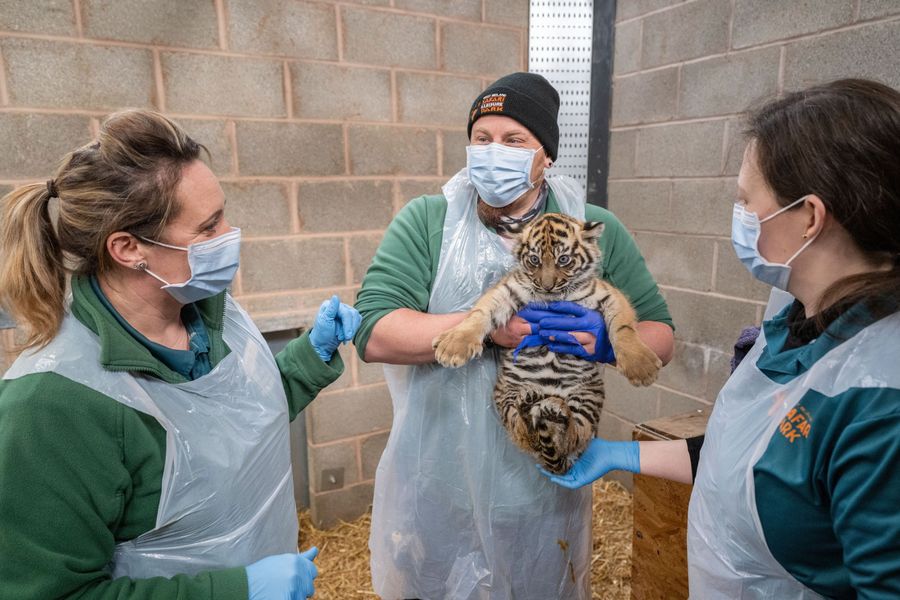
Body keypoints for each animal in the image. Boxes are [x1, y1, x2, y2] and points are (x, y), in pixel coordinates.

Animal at [432, 213, 662, 474]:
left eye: (564, 259)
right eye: (534, 260)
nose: (547, 285)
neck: (554, 298)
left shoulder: (609, 296)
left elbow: (623, 329)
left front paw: (641, 367)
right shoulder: (507, 291)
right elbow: (479, 314)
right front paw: (453, 346)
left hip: (588, 396)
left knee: (573, 435)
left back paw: (556, 414)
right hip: (506, 395)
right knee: (527, 433)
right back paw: (532, 407)